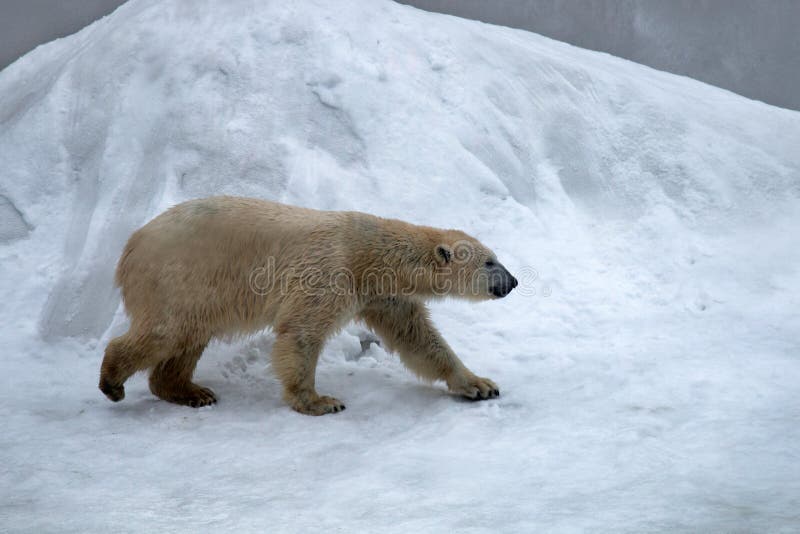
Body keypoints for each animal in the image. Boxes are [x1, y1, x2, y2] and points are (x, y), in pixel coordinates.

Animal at [99, 196, 518, 415]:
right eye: (489, 262)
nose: (513, 281)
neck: (368, 251)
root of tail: (130, 247)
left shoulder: (380, 293)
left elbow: (417, 337)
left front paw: (479, 385)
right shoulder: (329, 271)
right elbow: (300, 331)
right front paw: (320, 401)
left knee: (189, 337)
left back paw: (189, 391)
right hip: (178, 277)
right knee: (165, 331)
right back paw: (114, 381)